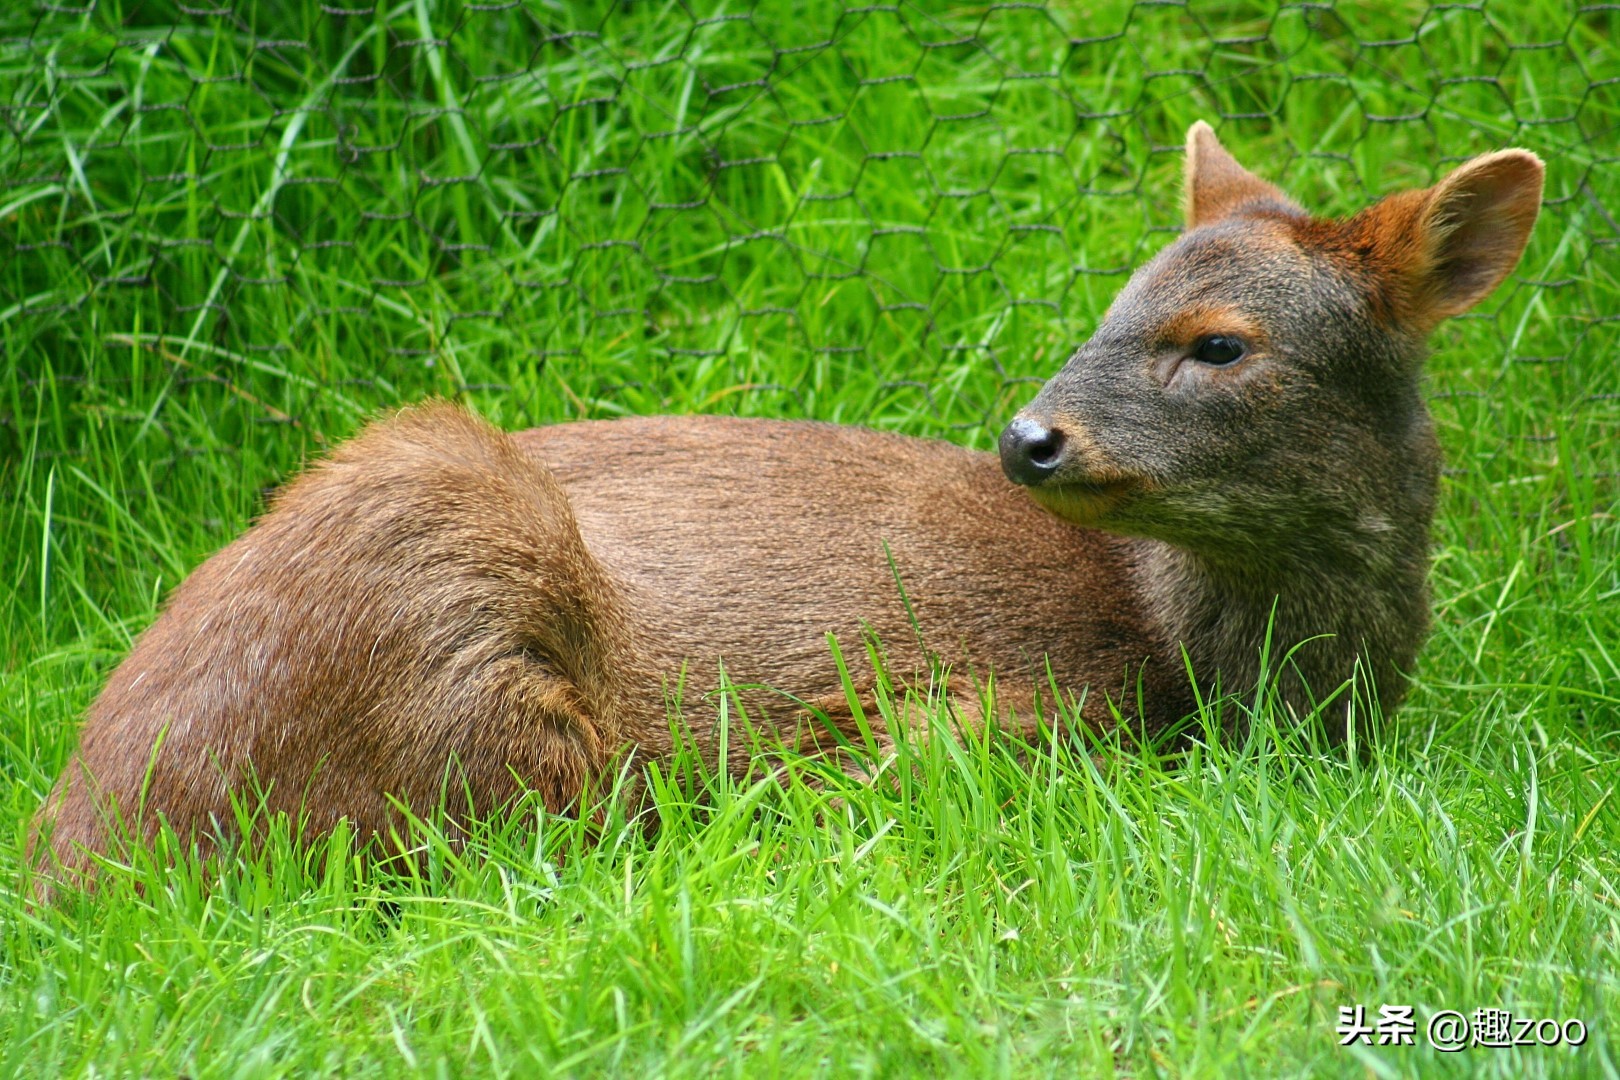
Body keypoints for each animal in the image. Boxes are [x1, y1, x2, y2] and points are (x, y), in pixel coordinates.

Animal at [30, 123, 1544, 892]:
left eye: (1221, 343)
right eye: (1110, 308)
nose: (1029, 439)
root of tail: (75, 852)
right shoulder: (983, 715)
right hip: (442, 556)